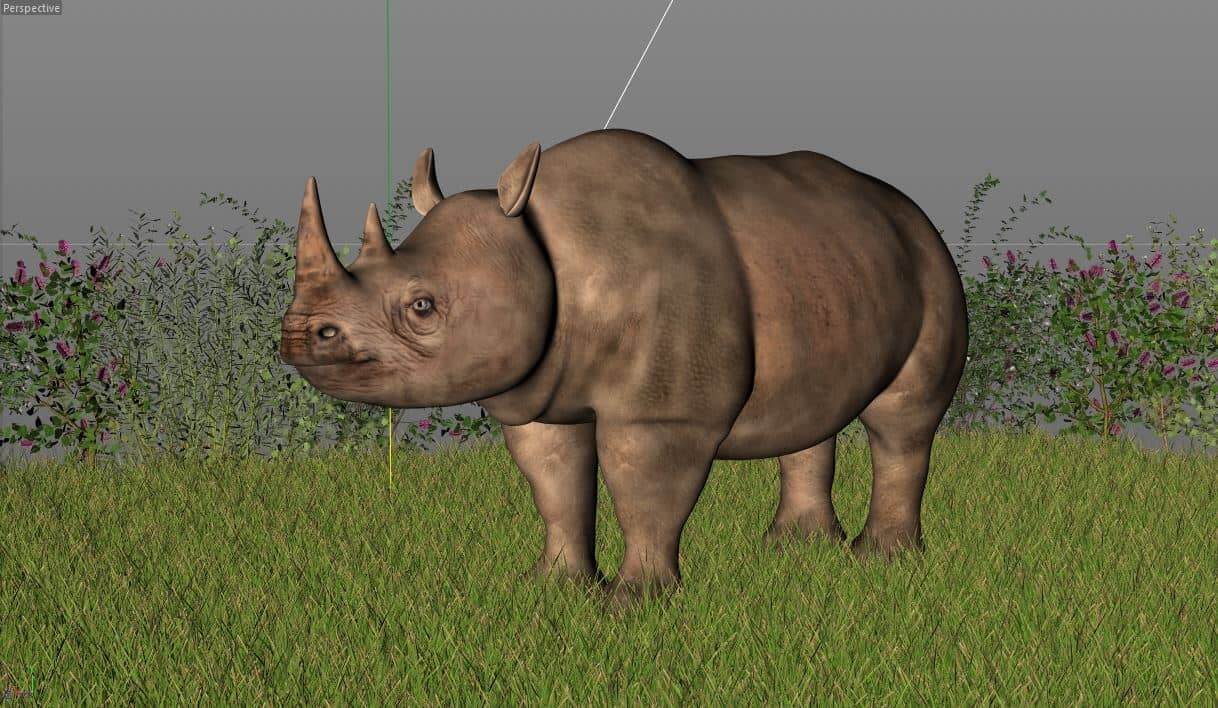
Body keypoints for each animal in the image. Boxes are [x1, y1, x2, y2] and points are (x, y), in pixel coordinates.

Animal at [280, 128, 968, 608]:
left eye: (422, 306)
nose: (299, 337)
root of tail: (906, 208)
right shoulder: (539, 396)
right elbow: (556, 482)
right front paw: (552, 588)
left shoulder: (663, 411)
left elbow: (645, 488)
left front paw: (633, 605)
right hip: (826, 267)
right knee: (811, 404)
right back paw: (796, 550)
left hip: (929, 261)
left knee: (902, 421)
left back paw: (881, 561)